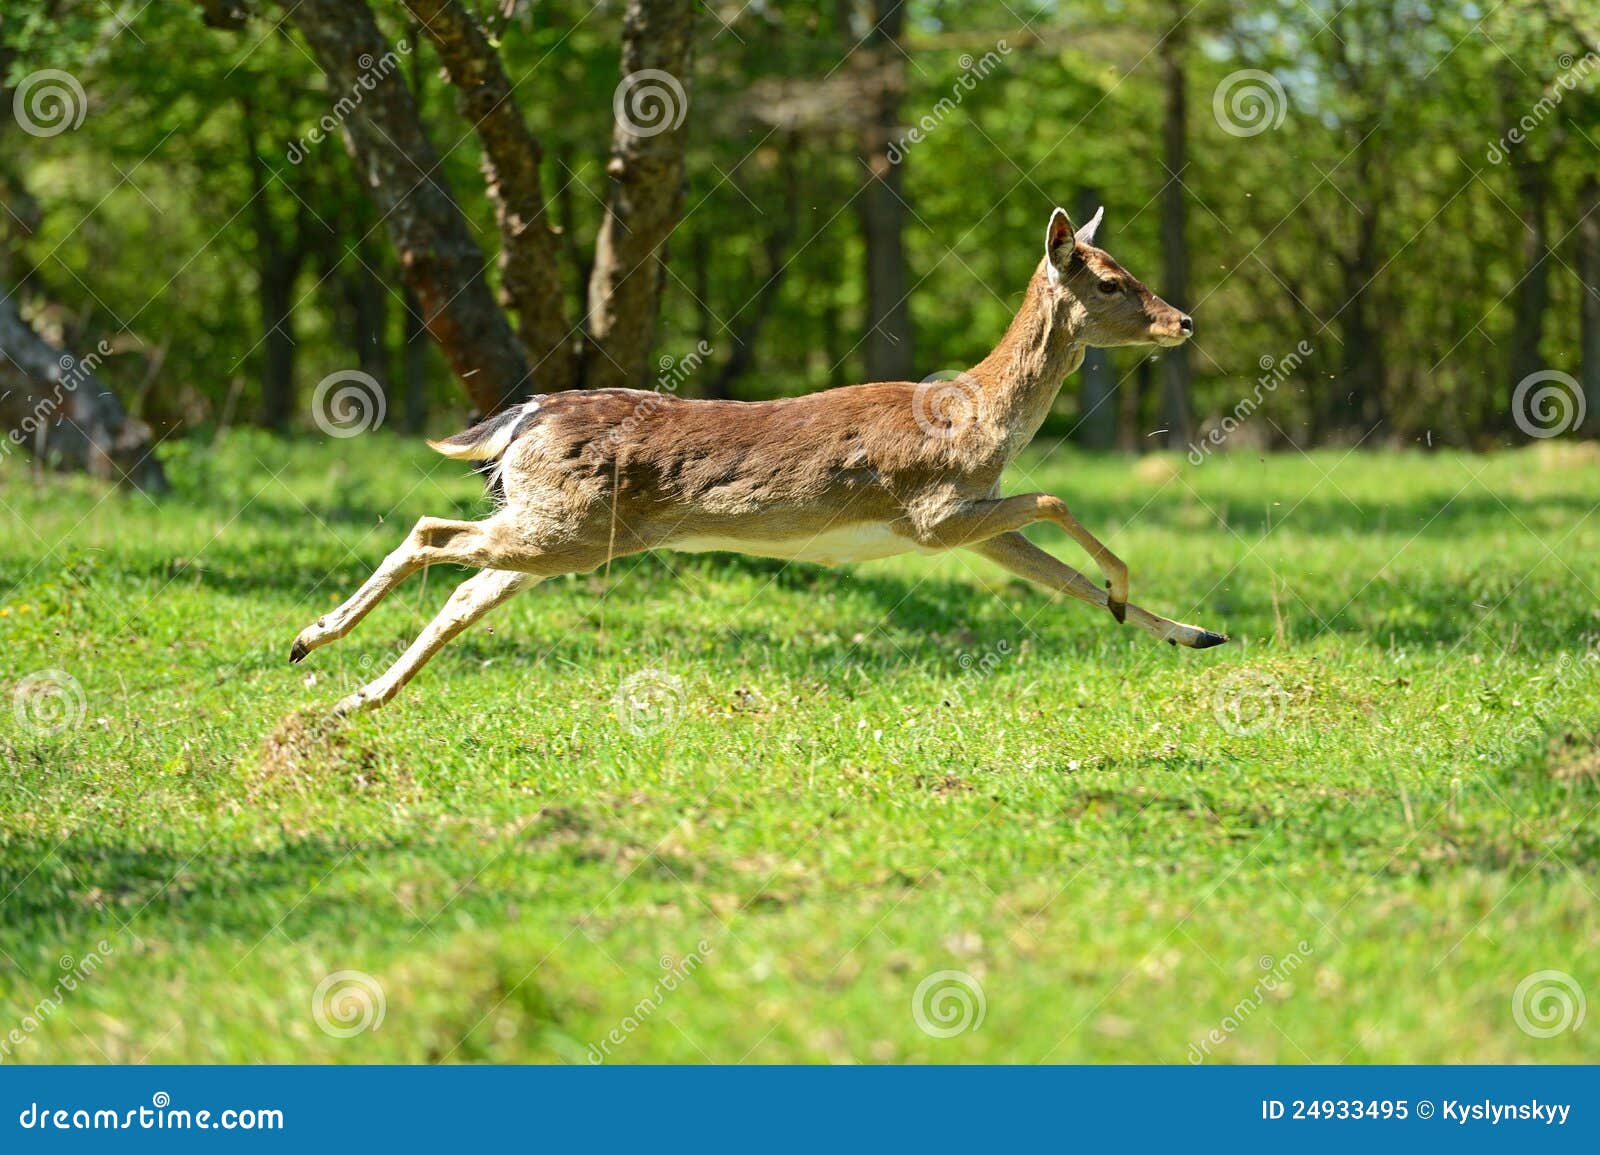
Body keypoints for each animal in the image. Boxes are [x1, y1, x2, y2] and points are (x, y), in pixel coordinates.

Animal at [290, 204, 1228, 716]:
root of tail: (525, 415)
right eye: (1109, 280)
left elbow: (1062, 576)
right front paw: (1128, 591)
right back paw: (310, 638)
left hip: (557, 525)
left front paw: (1193, 630)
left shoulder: (972, 522)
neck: (980, 418)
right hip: (567, 523)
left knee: (463, 589)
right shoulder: (932, 512)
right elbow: (1056, 499)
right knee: (430, 530)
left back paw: (355, 693)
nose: (1184, 320)